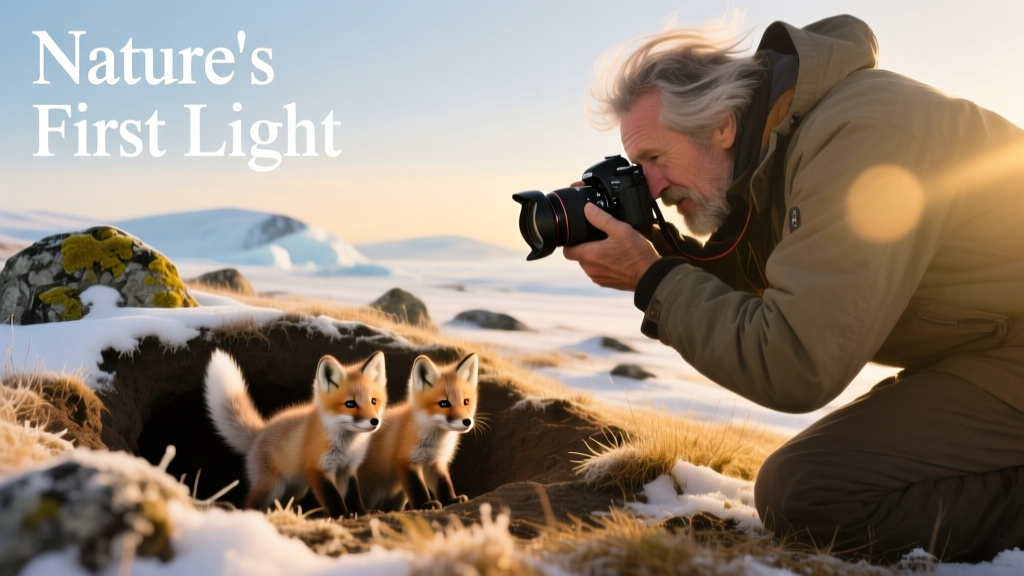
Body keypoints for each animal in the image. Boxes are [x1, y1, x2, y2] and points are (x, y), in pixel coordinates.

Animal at [203, 348, 387, 517]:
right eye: (350, 404)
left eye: (373, 401)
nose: (374, 421)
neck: (348, 444)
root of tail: (261, 431)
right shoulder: (318, 469)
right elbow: (333, 498)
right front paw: (341, 514)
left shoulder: (348, 468)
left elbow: (354, 496)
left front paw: (362, 512)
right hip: (273, 487)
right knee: (250, 505)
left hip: (295, 490)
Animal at [358, 353, 479, 511]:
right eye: (444, 403)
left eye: (466, 402)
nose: (467, 421)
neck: (436, 440)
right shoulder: (406, 460)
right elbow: (418, 489)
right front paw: (425, 505)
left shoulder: (435, 462)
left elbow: (444, 484)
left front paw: (451, 500)